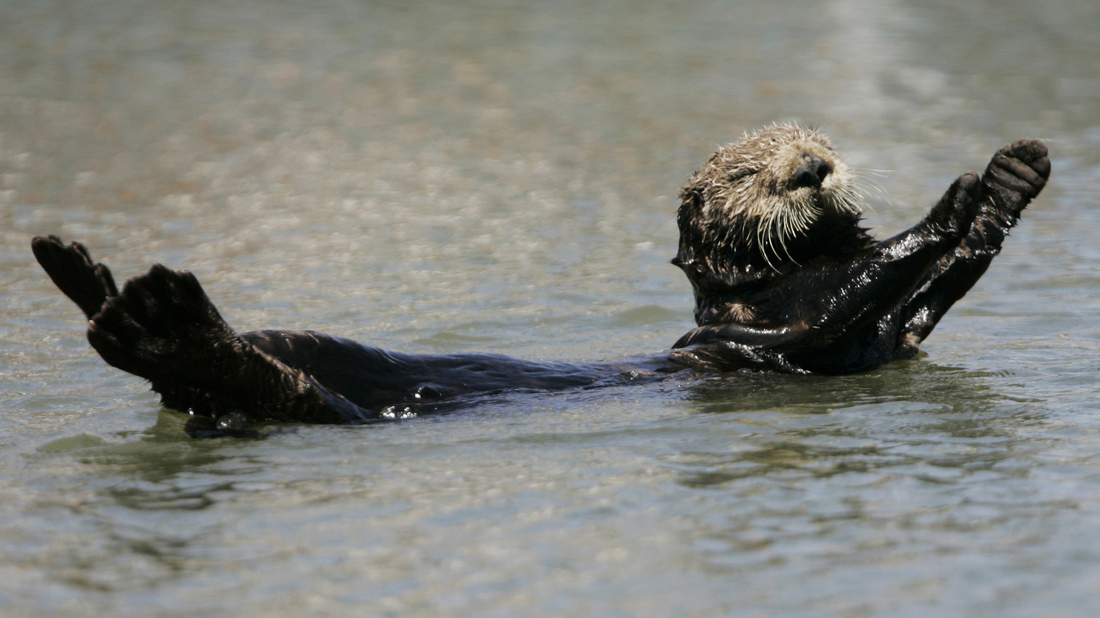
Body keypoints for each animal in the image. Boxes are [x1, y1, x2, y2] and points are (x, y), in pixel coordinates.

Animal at [32, 125, 1050, 436]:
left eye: (817, 143)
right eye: (745, 172)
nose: (811, 170)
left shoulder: (883, 341)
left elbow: (914, 301)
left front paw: (1010, 177)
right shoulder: (771, 327)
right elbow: (861, 285)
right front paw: (957, 196)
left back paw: (108, 290)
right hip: (312, 380)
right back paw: (131, 298)